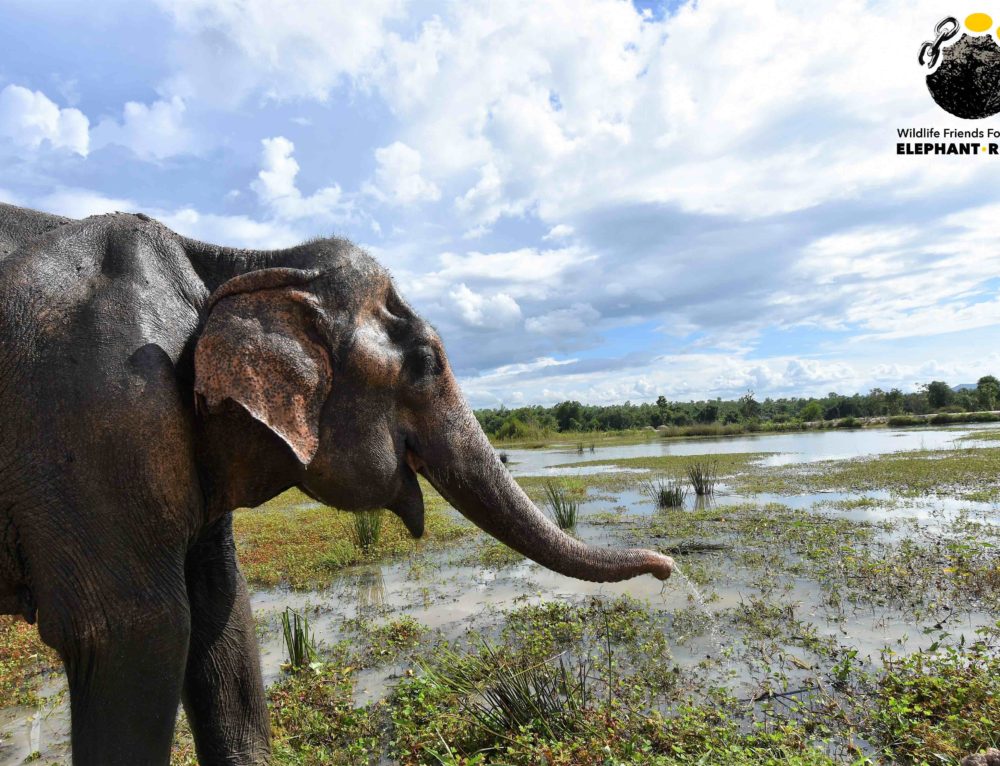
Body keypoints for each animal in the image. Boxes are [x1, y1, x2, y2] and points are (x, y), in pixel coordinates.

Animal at [0, 202, 673, 765]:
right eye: (428, 362)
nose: (668, 569)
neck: (239, 262)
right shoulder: (96, 412)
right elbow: (139, 631)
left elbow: (223, 613)